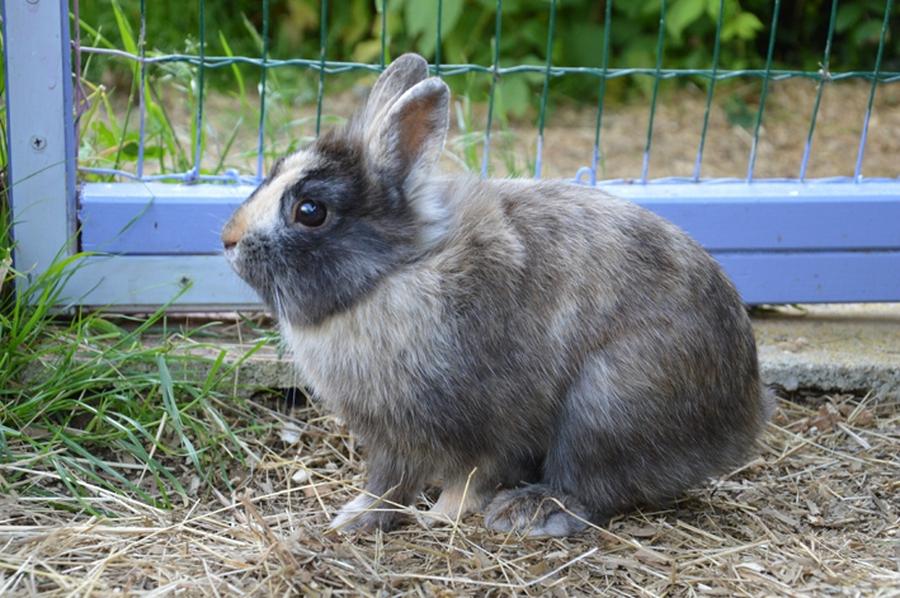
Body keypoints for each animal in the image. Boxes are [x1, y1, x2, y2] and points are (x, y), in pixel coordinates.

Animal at [221, 53, 773, 537]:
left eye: (310, 211)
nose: (228, 239)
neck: (393, 274)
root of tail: (743, 416)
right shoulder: (392, 442)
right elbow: (389, 484)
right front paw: (356, 518)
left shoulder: (483, 428)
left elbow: (471, 477)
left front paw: (441, 517)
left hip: (606, 405)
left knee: (592, 489)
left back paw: (529, 514)